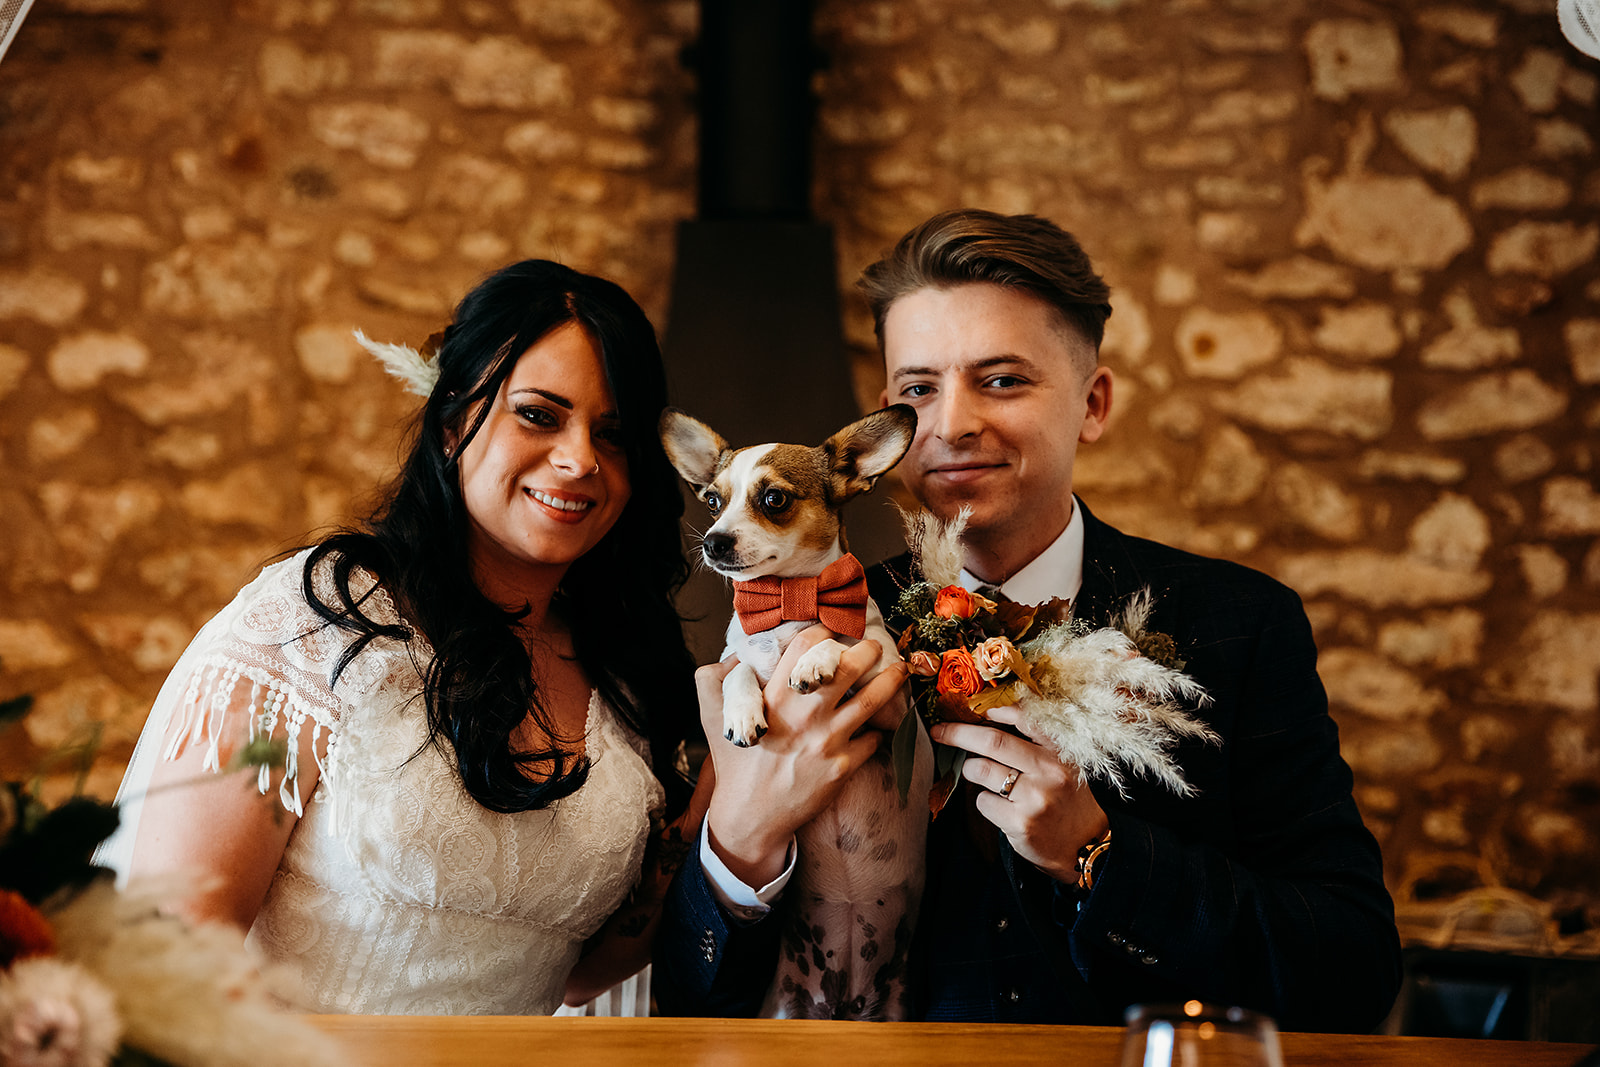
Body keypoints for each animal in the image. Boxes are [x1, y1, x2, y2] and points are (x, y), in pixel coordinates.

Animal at [662, 404, 934, 1023]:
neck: (788, 605)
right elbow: (739, 668)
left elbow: (844, 641)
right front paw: (743, 713)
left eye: (774, 499)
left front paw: (814, 659)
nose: (712, 541)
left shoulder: (893, 700)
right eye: (711, 500)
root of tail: (843, 998)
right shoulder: (731, 659)